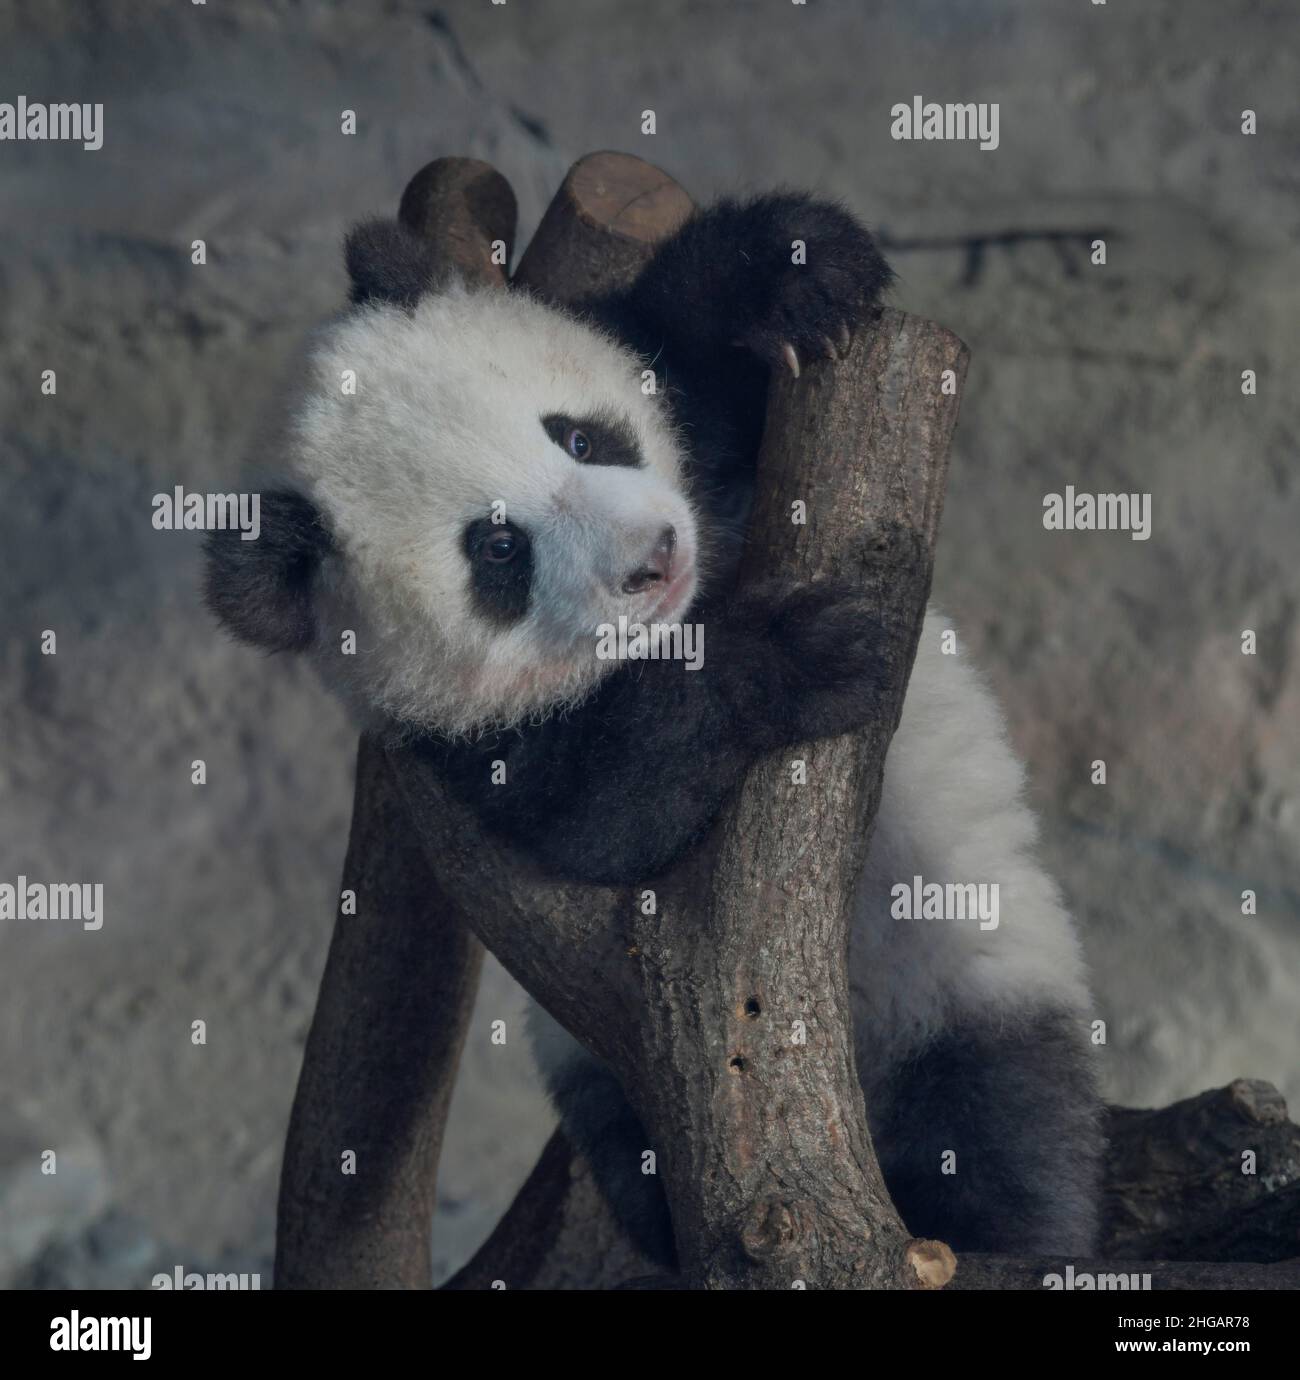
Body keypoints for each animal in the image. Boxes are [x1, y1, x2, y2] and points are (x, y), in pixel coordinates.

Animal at [206, 190, 1103, 1266]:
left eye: (579, 439)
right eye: (498, 550)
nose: (654, 558)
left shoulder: (712, 462)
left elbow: (684, 361)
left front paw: (797, 273)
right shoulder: (465, 753)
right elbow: (612, 810)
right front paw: (799, 652)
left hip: (970, 952)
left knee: (999, 1106)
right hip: (609, 1069)